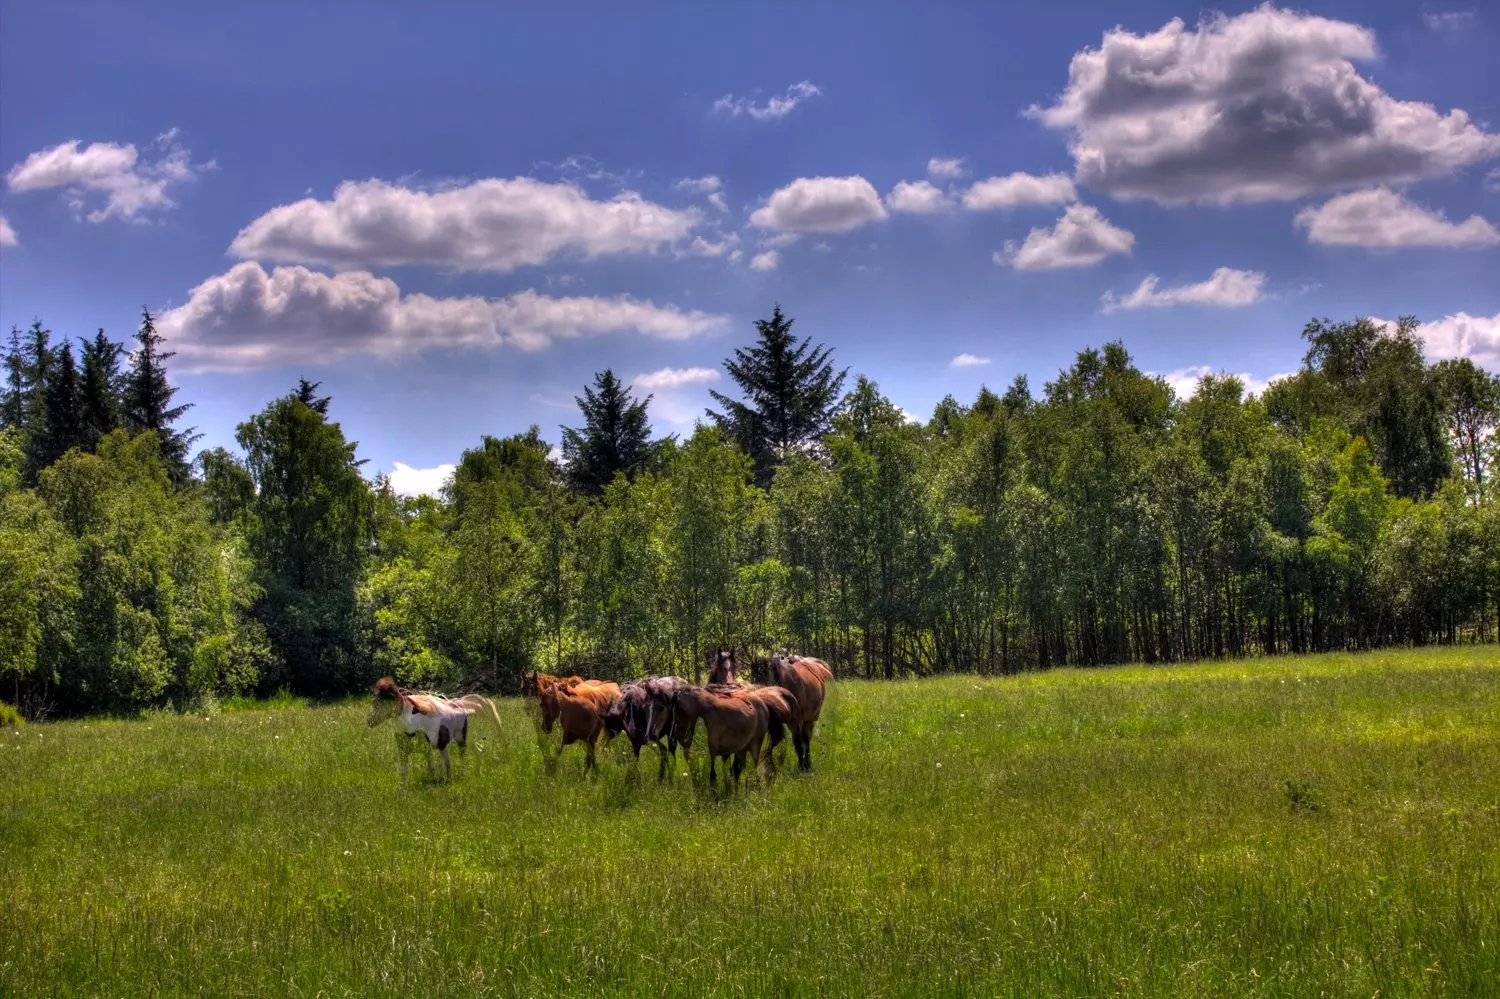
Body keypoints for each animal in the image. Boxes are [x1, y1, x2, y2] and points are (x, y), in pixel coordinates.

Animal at [367, 672, 504, 780]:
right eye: (374, 702)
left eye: (381, 703)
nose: (369, 720)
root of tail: (462, 707)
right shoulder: (404, 751)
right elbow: (404, 772)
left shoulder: (430, 749)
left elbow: (434, 768)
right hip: (457, 741)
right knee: (475, 751)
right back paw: (471, 774)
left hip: (460, 739)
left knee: (463, 754)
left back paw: (463, 775)